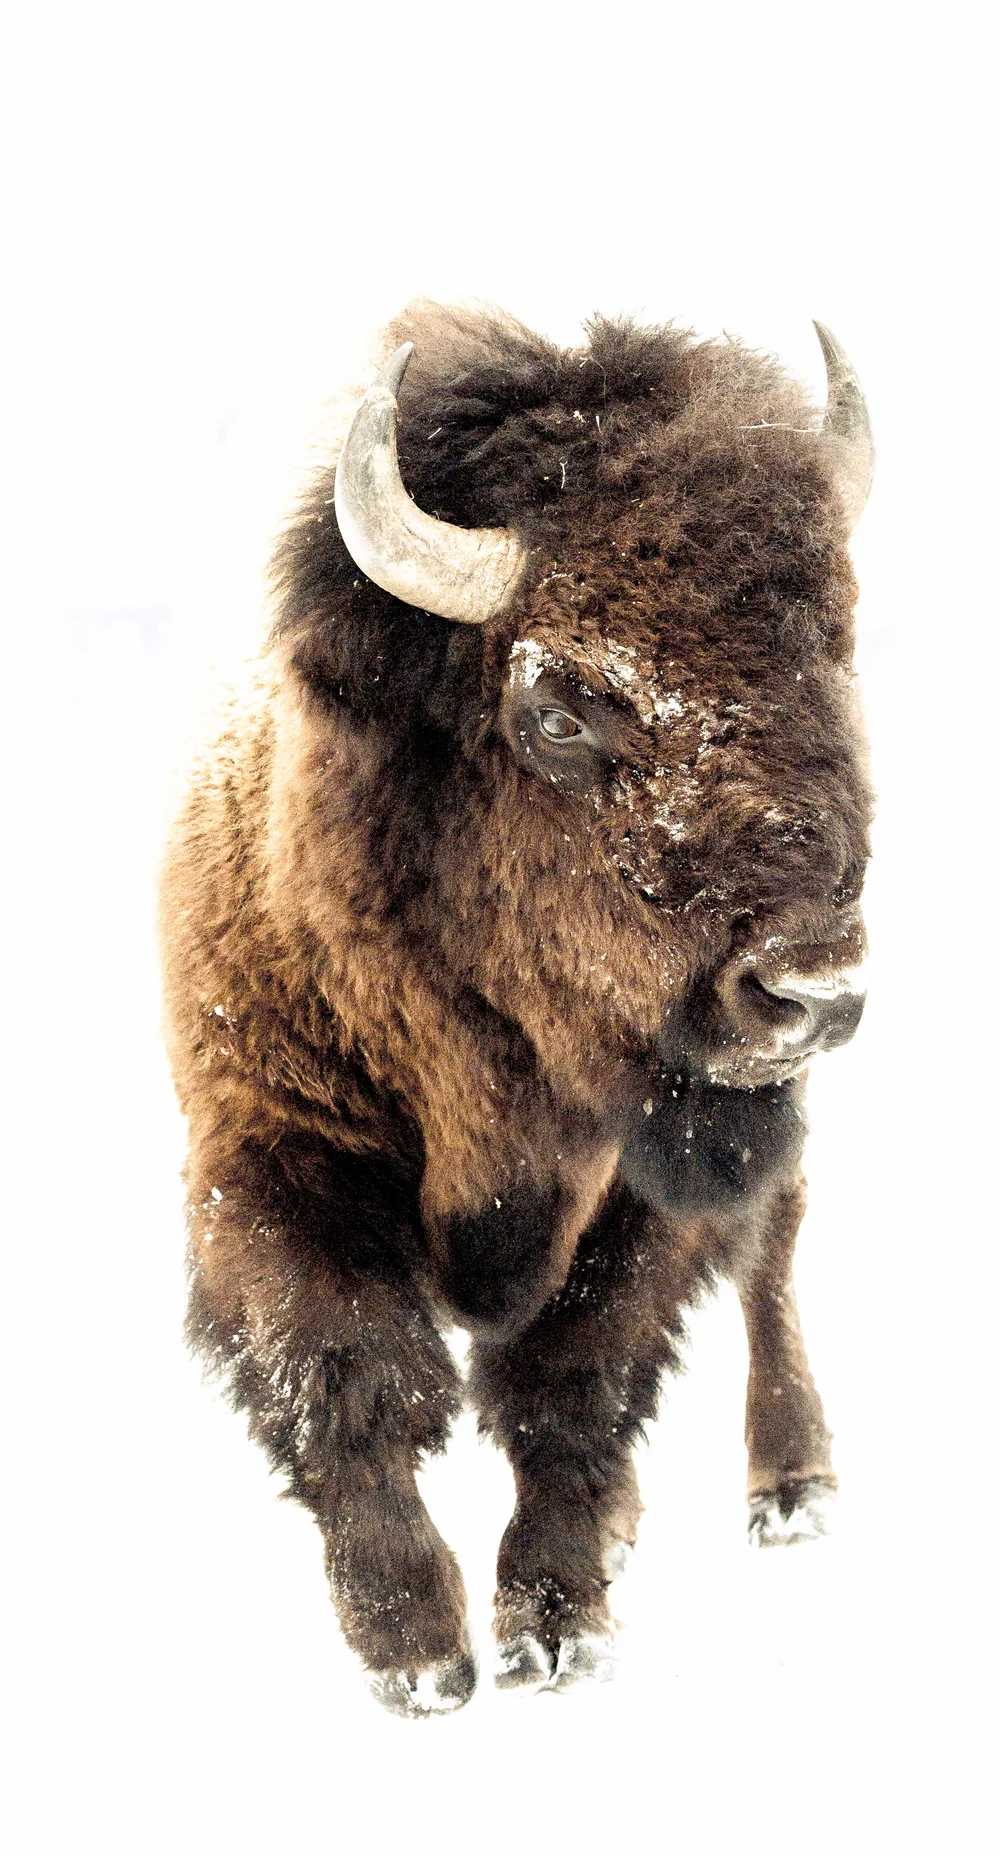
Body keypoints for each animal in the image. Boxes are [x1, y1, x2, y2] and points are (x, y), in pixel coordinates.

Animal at [159, 301, 874, 1715]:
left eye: (831, 650)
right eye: (556, 710)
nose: (809, 983)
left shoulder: (646, 1182)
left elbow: (574, 1375)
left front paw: (554, 1622)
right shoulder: (265, 1150)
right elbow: (348, 1369)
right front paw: (420, 1652)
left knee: (770, 1250)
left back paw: (792, 1485)